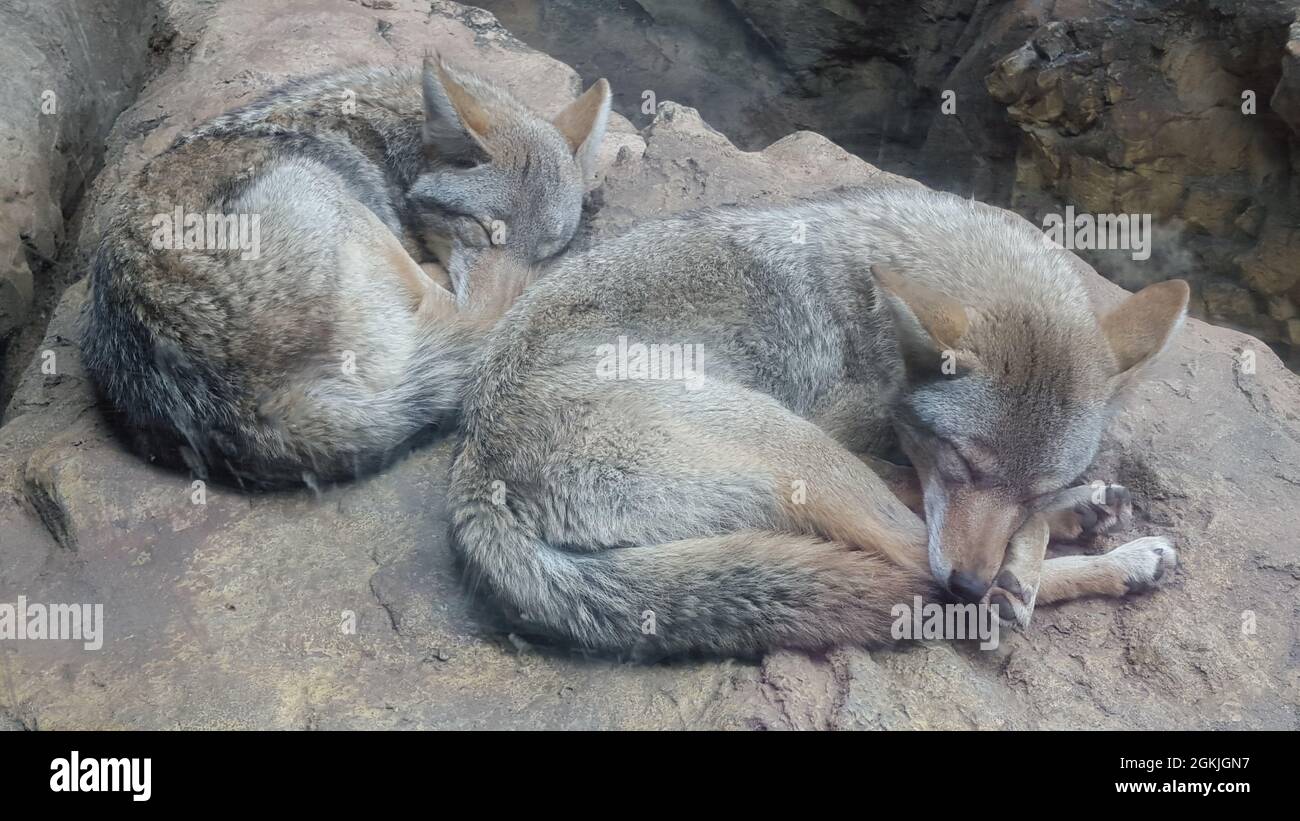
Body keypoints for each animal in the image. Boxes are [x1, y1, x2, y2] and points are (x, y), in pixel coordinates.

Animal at [81, 55, 611, 487]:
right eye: (482, 231)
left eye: (545, 252)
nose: (507, 309)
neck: (383, 137)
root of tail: (252, 408)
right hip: (330, 196)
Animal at [448, 184, 1189, 657]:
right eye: (961, 463)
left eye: (1034, 486)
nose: (974, 580)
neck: (871, 295)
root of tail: (477, 475)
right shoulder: (844, 431)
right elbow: (933, 511)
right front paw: (1031, 560)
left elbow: (980, 510)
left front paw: (1062, 513)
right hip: (800, 448)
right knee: (912, 559)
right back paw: (1099, 566)